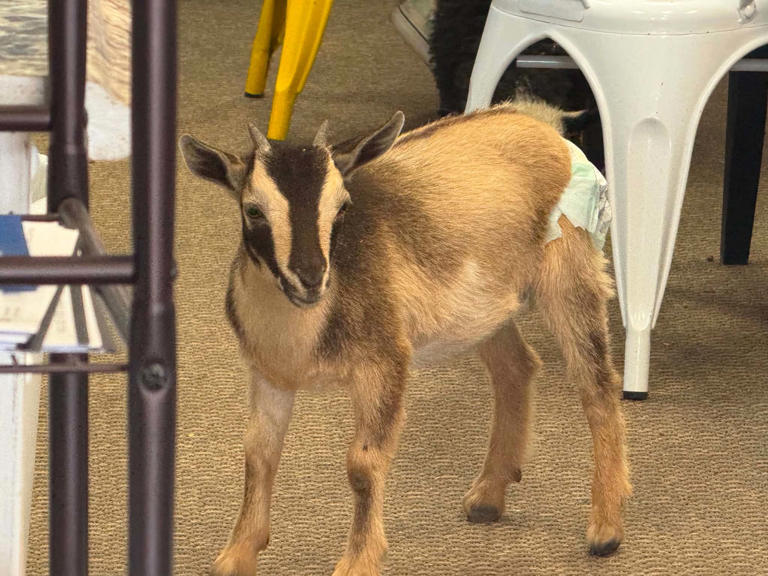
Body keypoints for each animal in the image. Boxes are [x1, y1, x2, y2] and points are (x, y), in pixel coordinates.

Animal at [179, 101, 631, 576]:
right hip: (484, 307)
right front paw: (236, 555)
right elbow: (258, 453)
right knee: (516, 368)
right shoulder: (270, 374)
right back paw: (488, 496)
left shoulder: (384, 360)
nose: (310, 278)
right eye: (252, 210)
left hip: (569, 268)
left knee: (598, 384)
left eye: (342, 207)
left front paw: (357, 562)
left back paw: (605, 527)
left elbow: (362, 463)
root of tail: (541, 123)